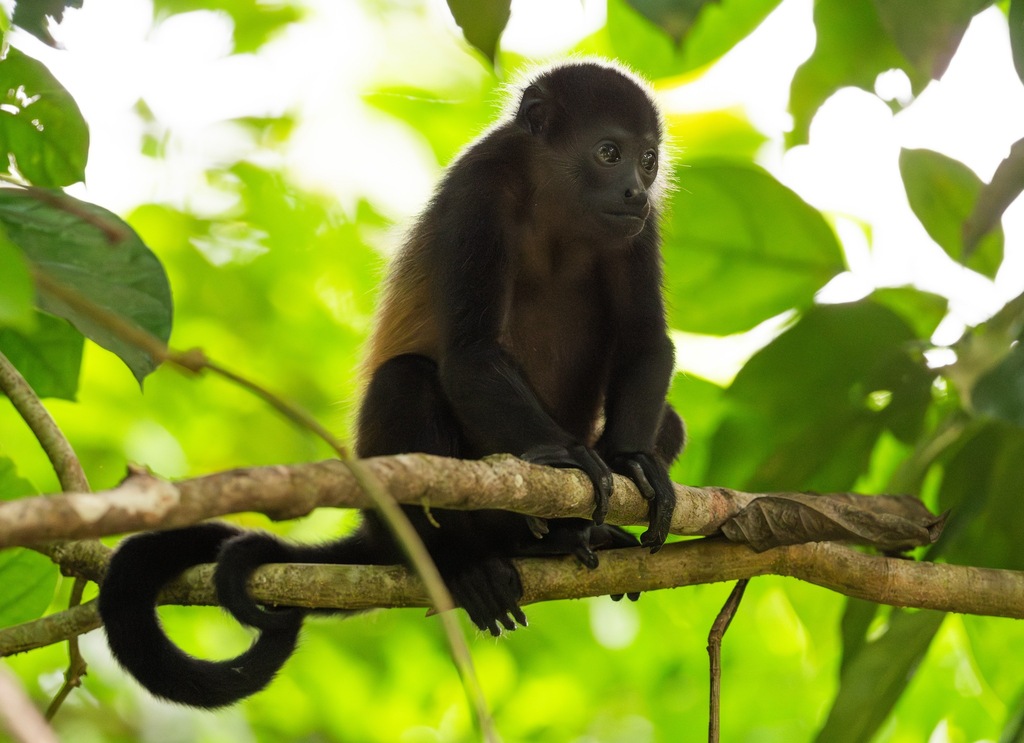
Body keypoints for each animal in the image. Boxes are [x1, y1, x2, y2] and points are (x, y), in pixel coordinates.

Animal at [98, 59, 683, 708]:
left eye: (649, 160)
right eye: (609, 153)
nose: (636, 188)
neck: (555, 205)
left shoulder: (644, 226)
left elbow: (646, 343)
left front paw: (631, 462)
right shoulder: (479, 189)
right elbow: (470, 355)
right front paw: (566, 457)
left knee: (670, 418)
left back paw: (561, 539)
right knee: (406, 380)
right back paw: (462, 565)